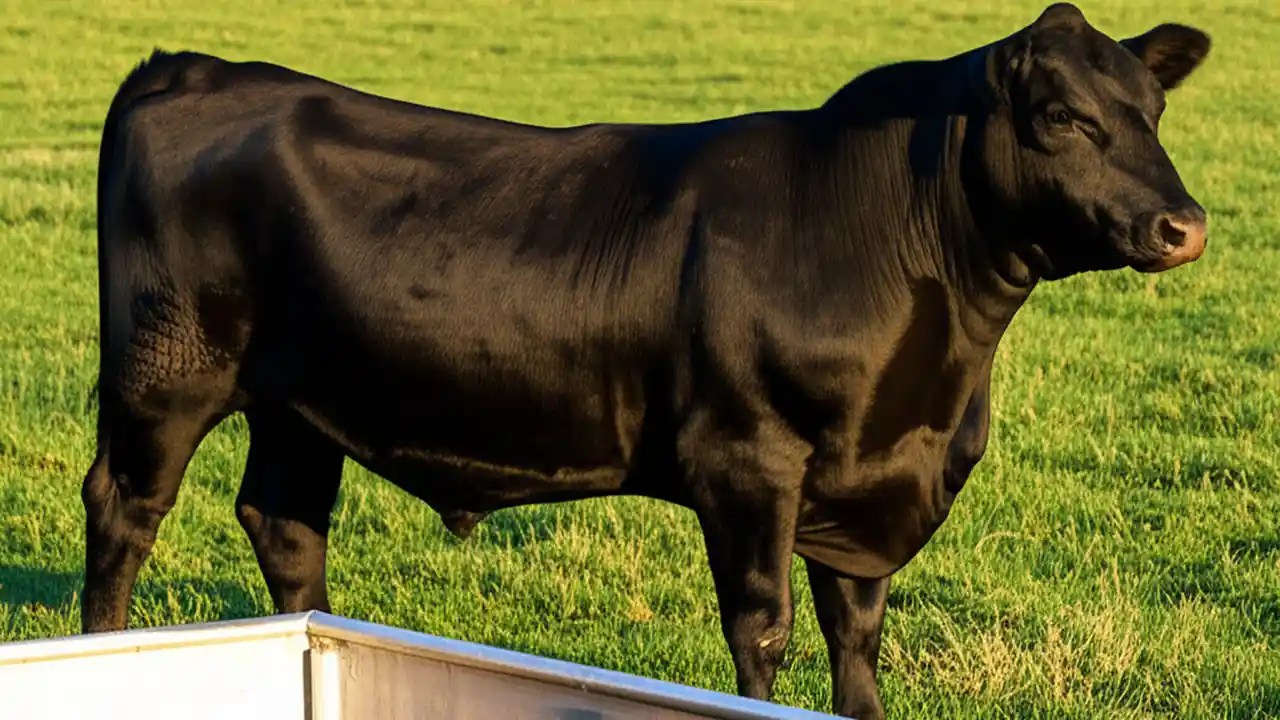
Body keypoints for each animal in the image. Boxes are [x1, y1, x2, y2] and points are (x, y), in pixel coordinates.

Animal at [81, 4, 1209, 717]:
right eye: (1061, 117)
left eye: (1152, 113)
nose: (1183, 226)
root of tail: (196, 68)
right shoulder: (748, 462)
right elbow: (763, 632)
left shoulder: (868, 492)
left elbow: (858, 642)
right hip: (165, 374)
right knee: (123, 511)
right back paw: (98, 649)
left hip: (299, 400)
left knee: (285, 530)